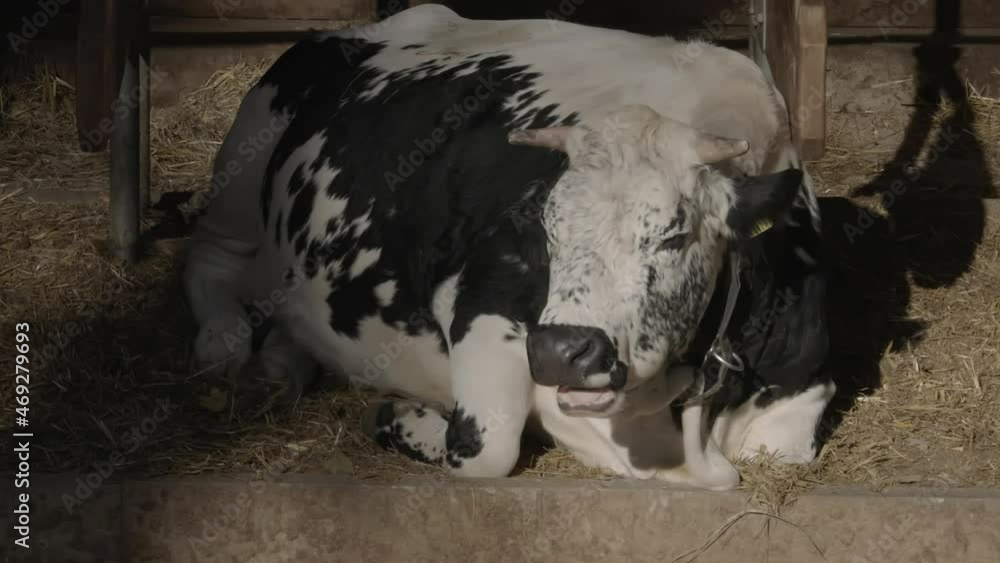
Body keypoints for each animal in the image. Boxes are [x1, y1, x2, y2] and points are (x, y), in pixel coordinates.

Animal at [184, 4, 832, 490]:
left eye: (674, 234)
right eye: (547, 227)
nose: (560, 352)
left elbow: (779, 449)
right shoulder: (480, 298)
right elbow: (487, 449)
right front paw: (399, 417)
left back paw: (282, 363)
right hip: (245, 163)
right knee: (211, 257)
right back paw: (225, 341)